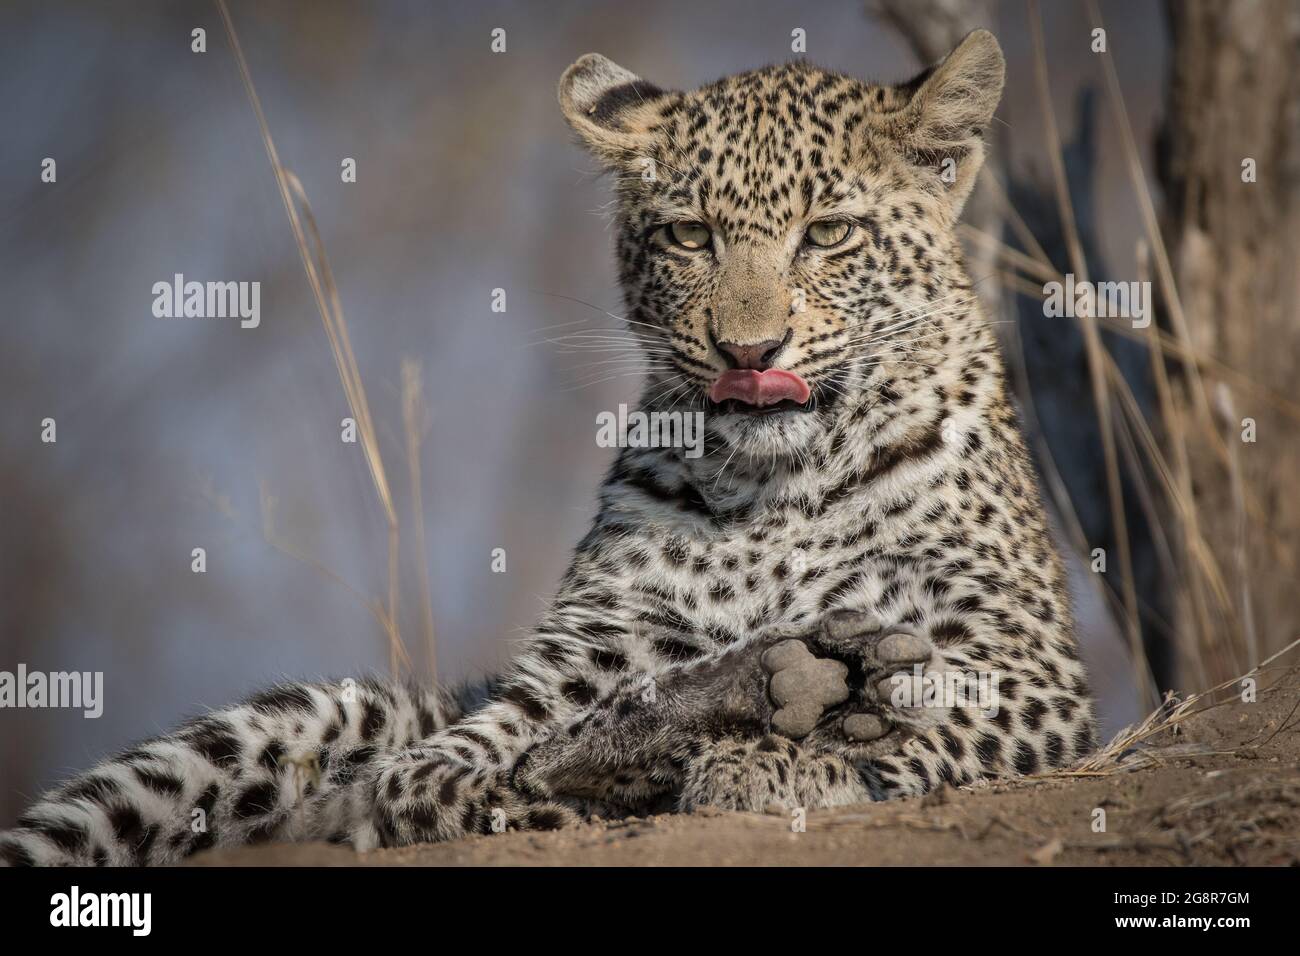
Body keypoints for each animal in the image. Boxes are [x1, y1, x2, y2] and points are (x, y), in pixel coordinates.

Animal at [0, 29, 1097, 866]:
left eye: (828, 234)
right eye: (690, 237)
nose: (748, 352)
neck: (776, 482)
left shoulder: (1028, 672)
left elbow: (938, 725)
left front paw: (800, 752)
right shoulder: (570, 667)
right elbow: (445, 774)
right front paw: (702, 738)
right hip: (296, 717)